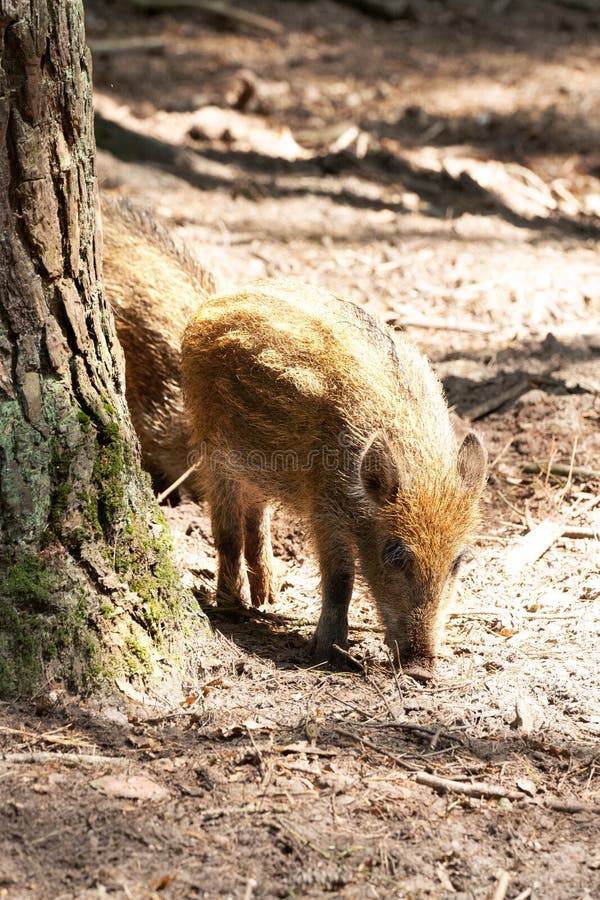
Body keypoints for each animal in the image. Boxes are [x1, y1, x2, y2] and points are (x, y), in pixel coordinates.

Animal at [181, 279, 486, 679]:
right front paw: (327, 654)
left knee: (257, 513)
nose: (421, 668)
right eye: (394, 555)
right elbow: (341, 577)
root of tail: (213, 303)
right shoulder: (324, 508)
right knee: (226, 528)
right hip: (212, 447)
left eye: (457, 562)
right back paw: (235, 609)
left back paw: (269, 596)